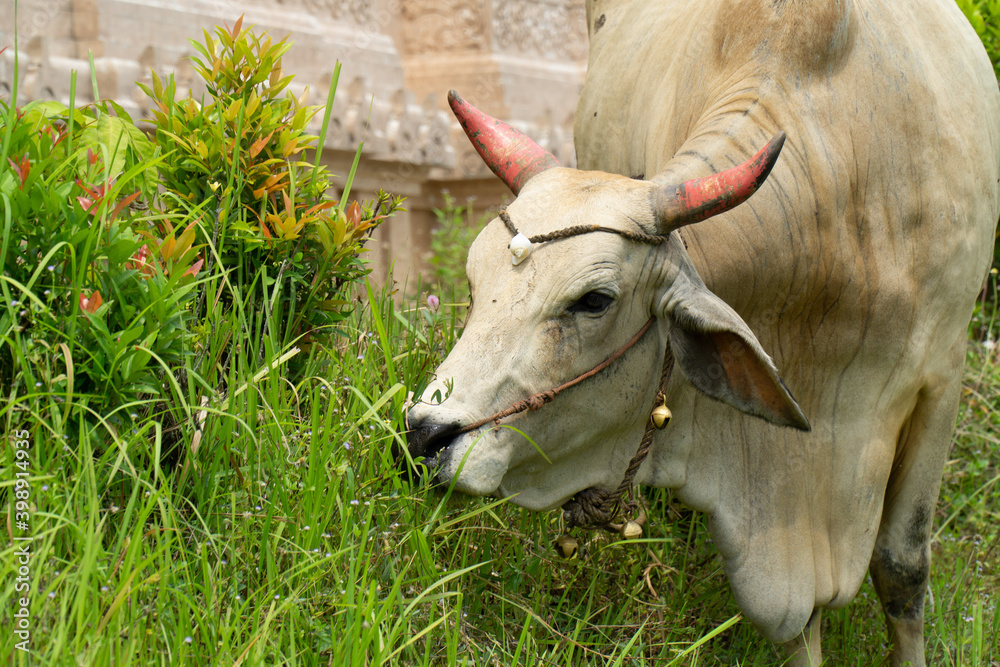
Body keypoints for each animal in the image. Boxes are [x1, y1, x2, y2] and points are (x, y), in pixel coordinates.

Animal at [404, 0, 1000, 664]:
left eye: (594, 300)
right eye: (474, 281)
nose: (424, 435)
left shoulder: (940, 378)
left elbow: (902, 568)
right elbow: (803, 624)